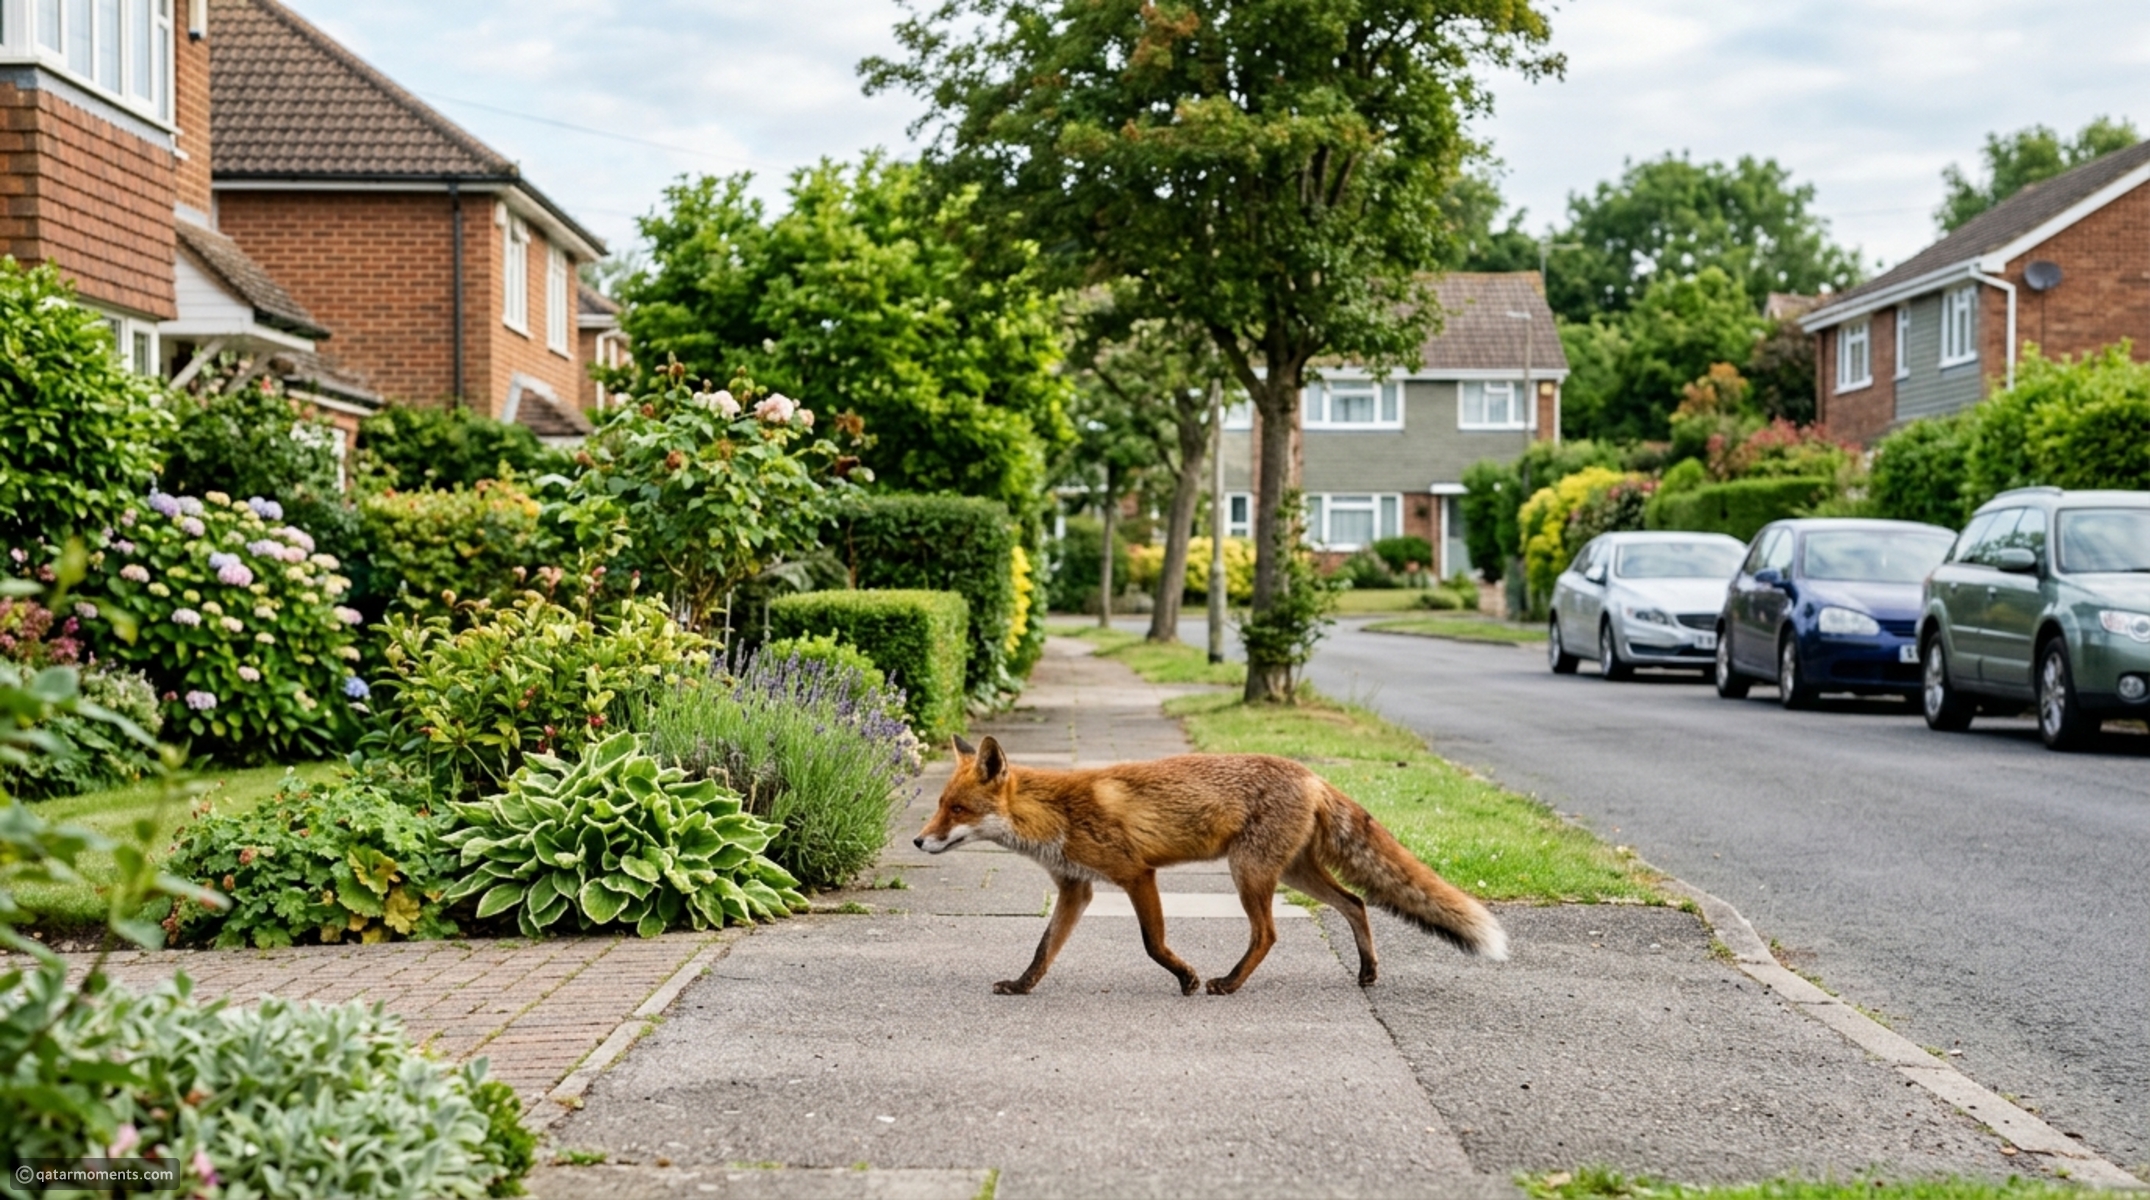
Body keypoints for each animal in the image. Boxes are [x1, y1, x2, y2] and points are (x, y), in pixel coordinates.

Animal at [912, 735, 1508, 996]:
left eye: (957, 809)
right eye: (940, 804)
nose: (918, 841)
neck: (1057, 813)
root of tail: (1312, 774)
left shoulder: (1137, 874)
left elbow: (1153, 944)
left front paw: (1188, 978)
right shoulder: (1076, 888)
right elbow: (1043, 949)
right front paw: (1022, 985)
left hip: (1249, 873)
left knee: (1268, 933)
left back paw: (1228, 983)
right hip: (1292, 873)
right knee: (1357, 903)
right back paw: (1366, 971)